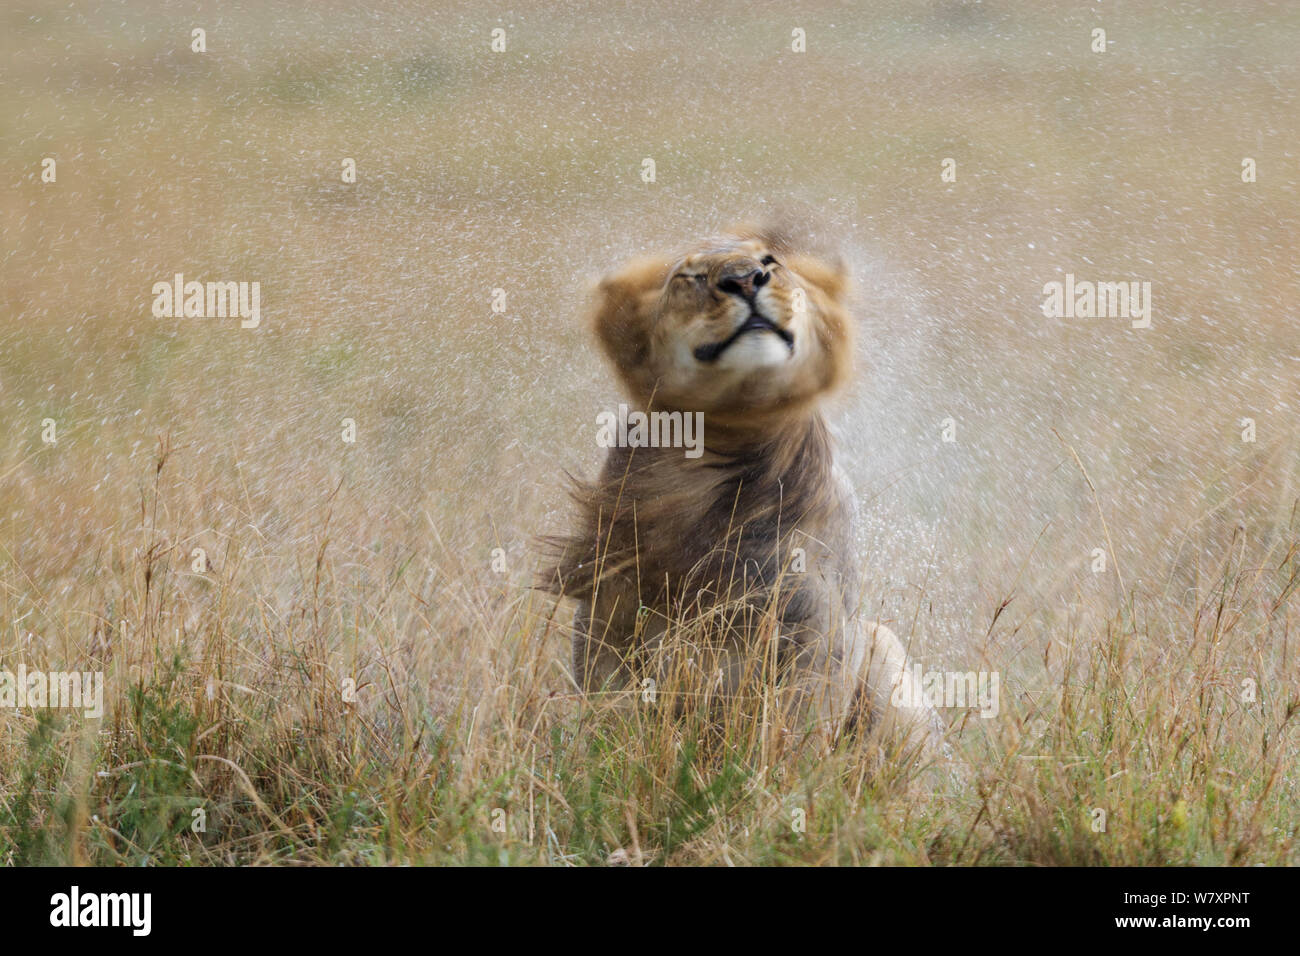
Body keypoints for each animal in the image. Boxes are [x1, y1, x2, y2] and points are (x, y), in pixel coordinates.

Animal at [545, 225, 943, 757]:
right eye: (689, 276)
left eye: (770, 262)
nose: (745, 280)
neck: (725, 450)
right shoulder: (607, 620)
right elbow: (612, 719)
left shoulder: (816, 632)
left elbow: (793, 739)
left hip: (883, 649)